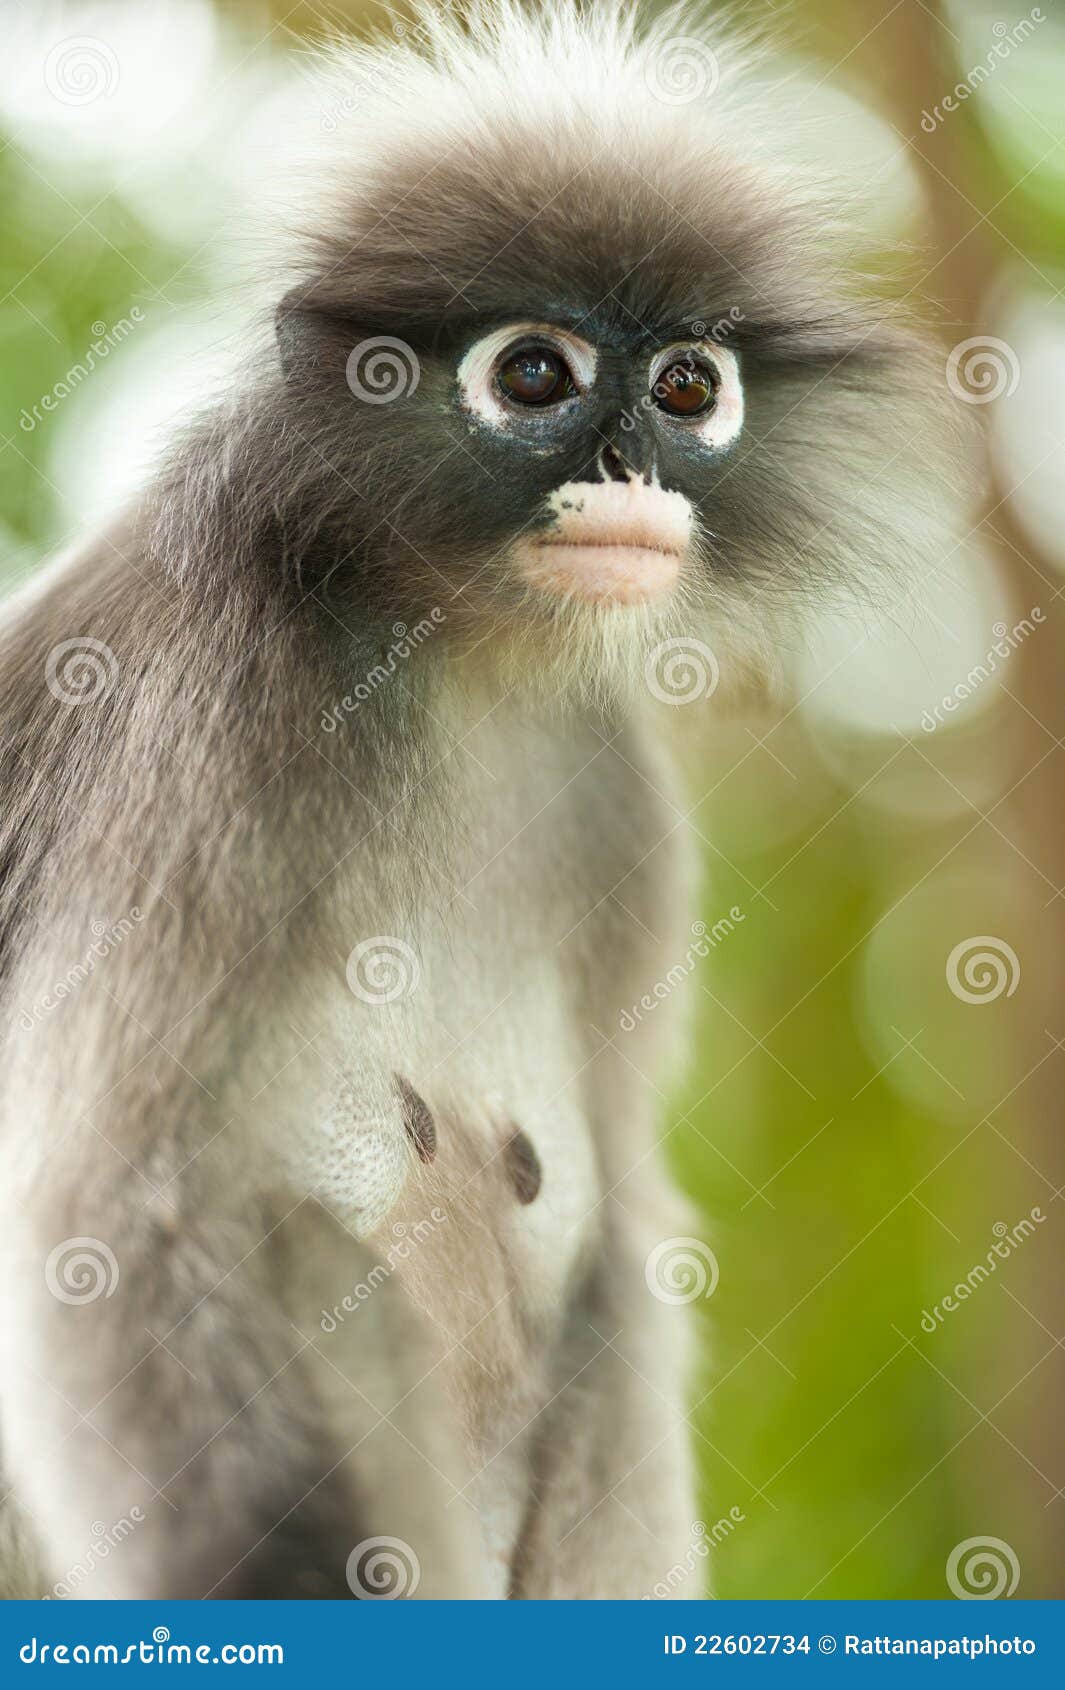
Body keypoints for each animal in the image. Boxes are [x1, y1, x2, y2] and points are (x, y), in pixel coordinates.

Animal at [0, 2, 960, 1599]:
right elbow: (108, 1203)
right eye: (535, 377)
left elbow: (620, 1250)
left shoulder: (610, 786)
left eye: (687, 385)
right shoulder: (196, 695)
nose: (631, 465)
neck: (441, 649)